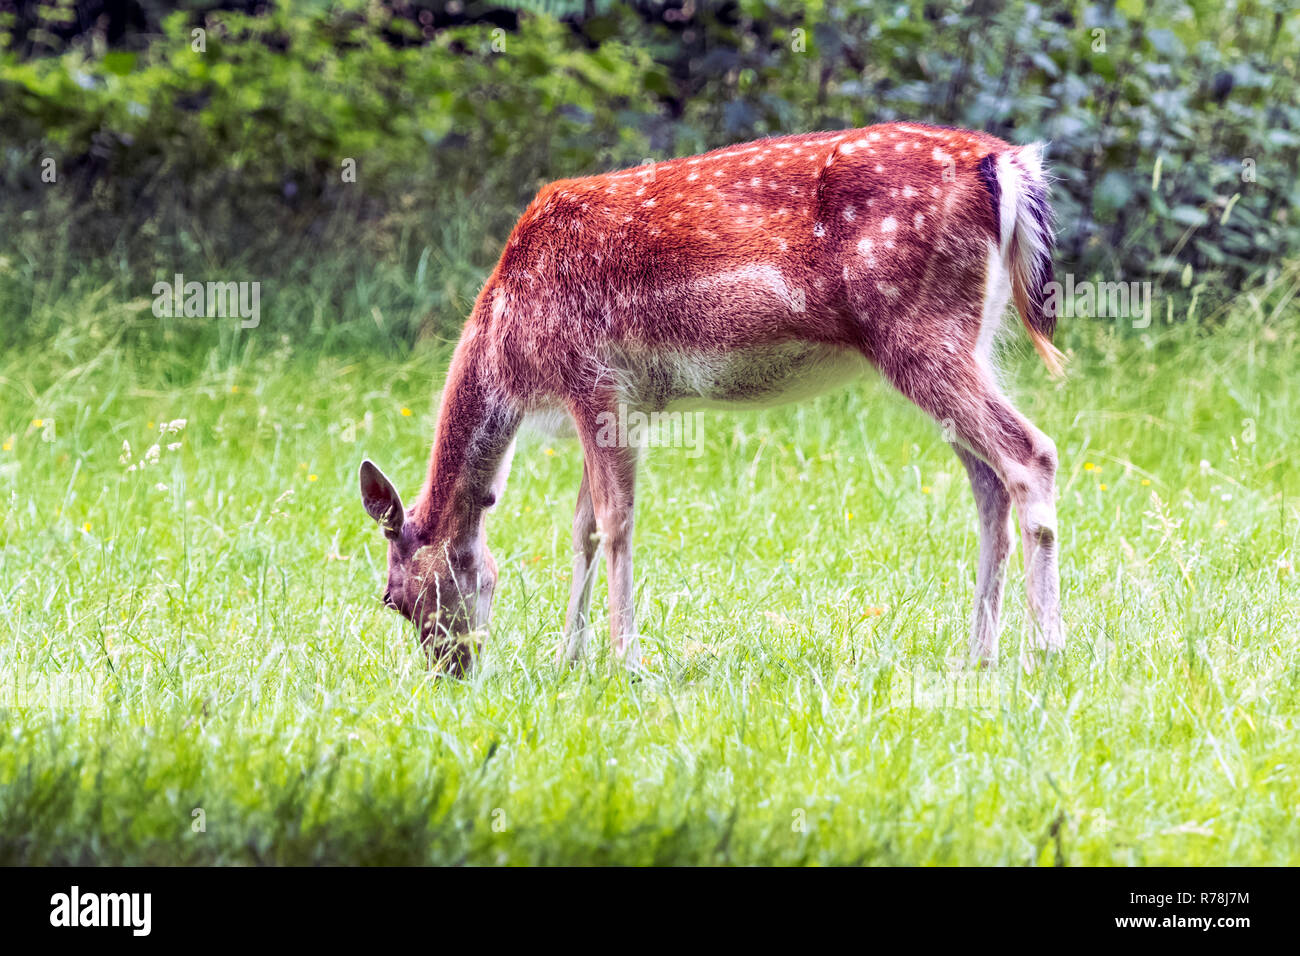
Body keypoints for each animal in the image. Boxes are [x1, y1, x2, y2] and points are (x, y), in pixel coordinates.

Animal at [359, 122, 1065, 675]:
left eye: (393, 597)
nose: (450, 669)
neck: (510, 345)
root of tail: (1007, 166)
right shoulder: (624, 405)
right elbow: (581, 527)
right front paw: (567, 660)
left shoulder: (593, 378)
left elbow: (614, 521)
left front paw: (625, 662)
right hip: (971, 336)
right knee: (989, 480)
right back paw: (978, 656)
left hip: (917, 327)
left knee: (1030, 453)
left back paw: (1047, 650)